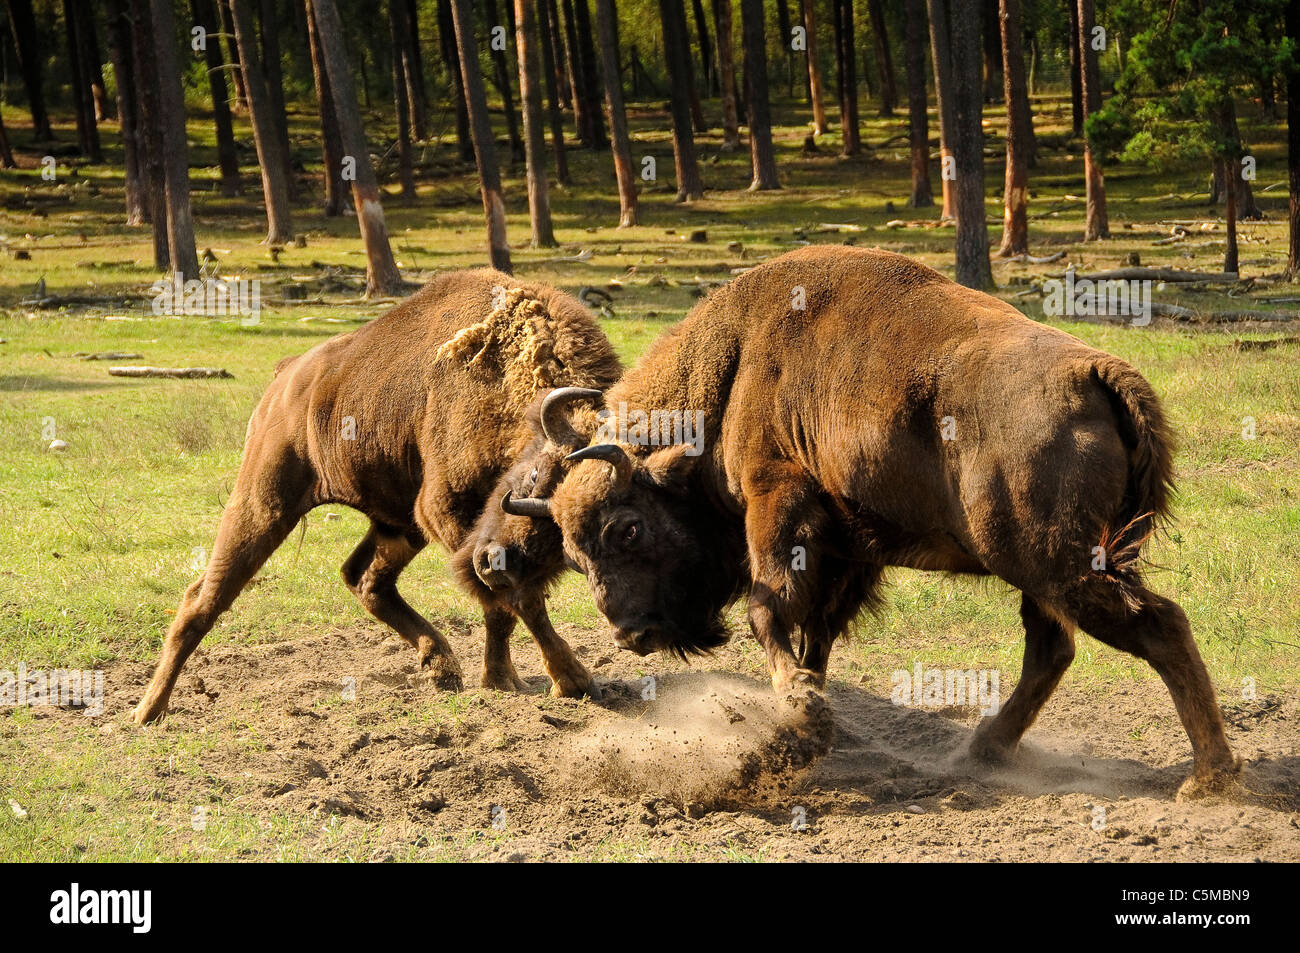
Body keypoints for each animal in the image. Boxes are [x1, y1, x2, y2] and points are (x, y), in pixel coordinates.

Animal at [515, 246, 1240, 796]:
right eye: (574, 555)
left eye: (627, 528)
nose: (630, 632)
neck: (736, 366)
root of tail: (1096, 369)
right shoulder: (845, 549)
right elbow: (816, 631)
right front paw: (810, 703)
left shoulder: (777, 501)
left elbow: (768, 608)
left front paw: (798, 711)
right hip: (1046, 568)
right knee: (1053, 646)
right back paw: (981, 750)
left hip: (1059, 564)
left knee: (1156, 626)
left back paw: (1207, 779)